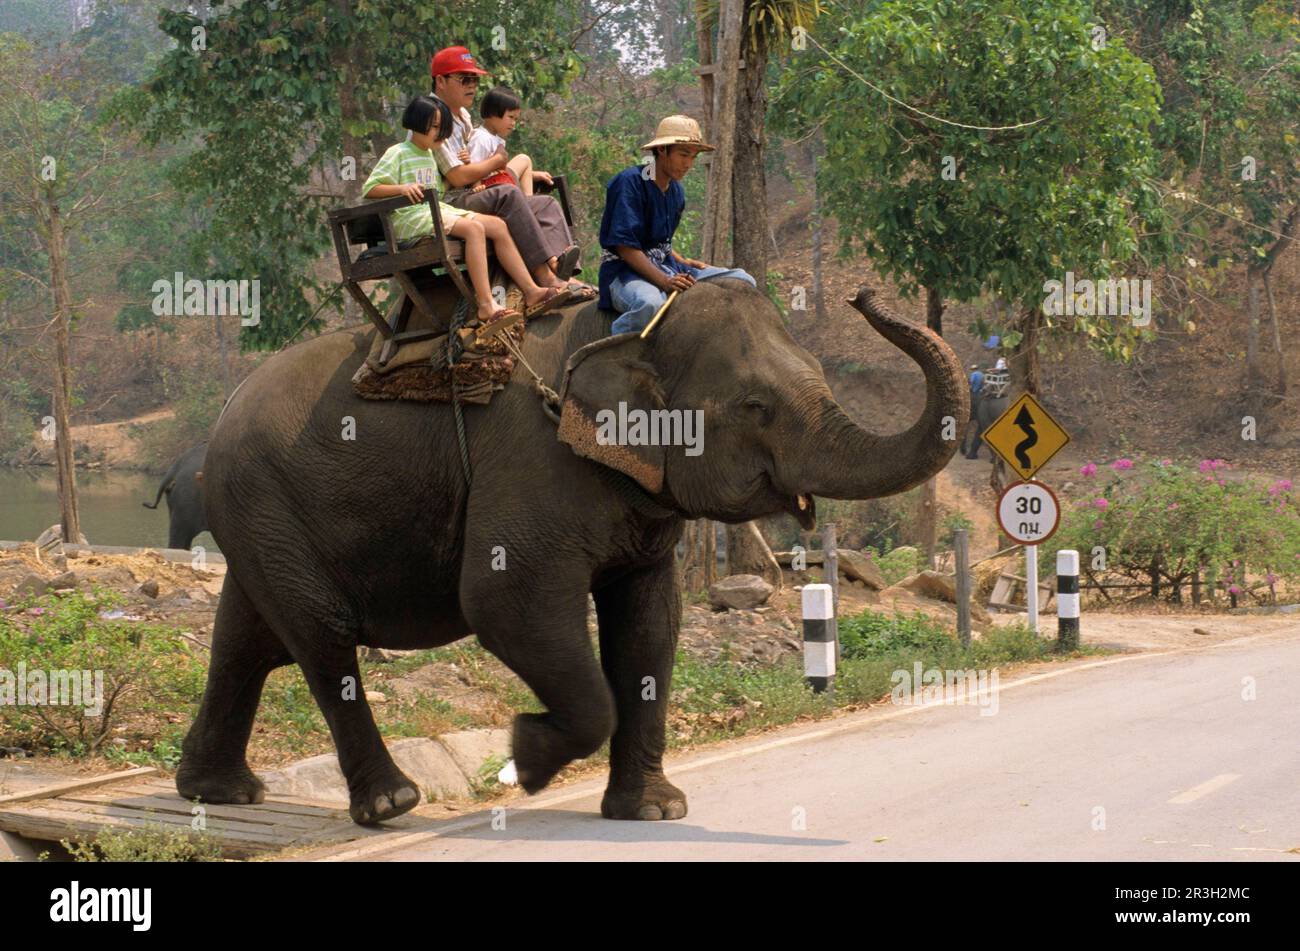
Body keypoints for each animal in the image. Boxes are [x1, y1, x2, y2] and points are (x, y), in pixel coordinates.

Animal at [175, 281, 968, 825]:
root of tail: (223, 412)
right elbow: (504, 600)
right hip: (262, 499)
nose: (865, 296)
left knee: (247, 637)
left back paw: (219, 791)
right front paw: (525, 760)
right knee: (319, 636)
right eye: (754, 407)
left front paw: (653, 811)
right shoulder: (535, 459)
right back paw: (392, 802)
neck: (629, 331)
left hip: (261, 518)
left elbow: (649, 620)